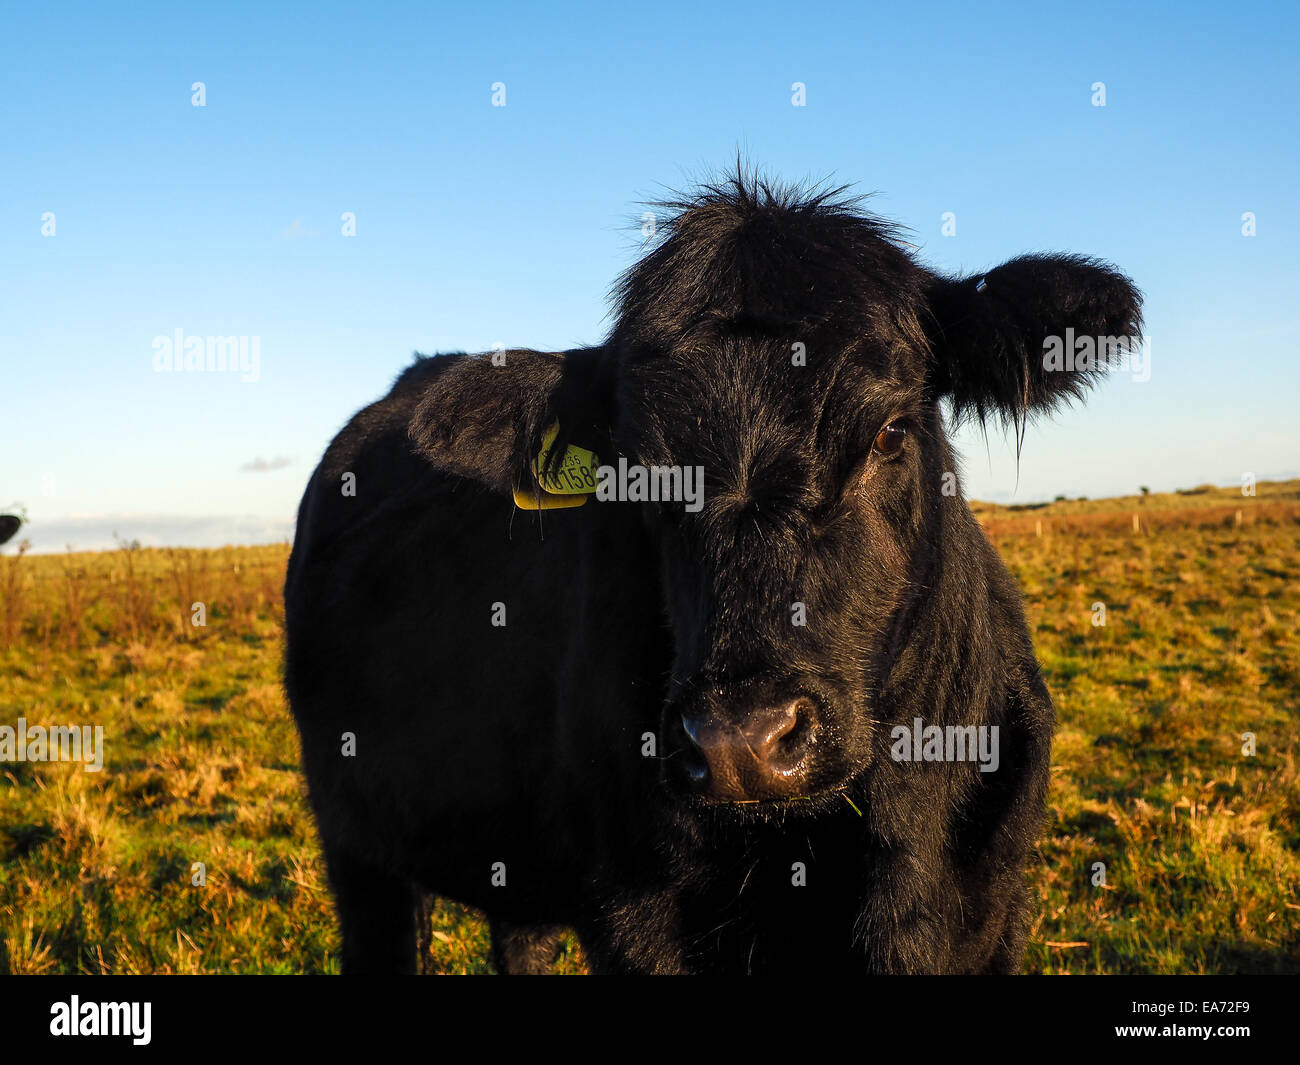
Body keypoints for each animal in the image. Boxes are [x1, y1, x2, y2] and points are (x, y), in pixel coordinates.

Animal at [283, 171, 1141, 974]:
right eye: (634, 472)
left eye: (892, 431)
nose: (742, 739)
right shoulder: (638, 921)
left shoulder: (985, 911)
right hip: (355, 844)